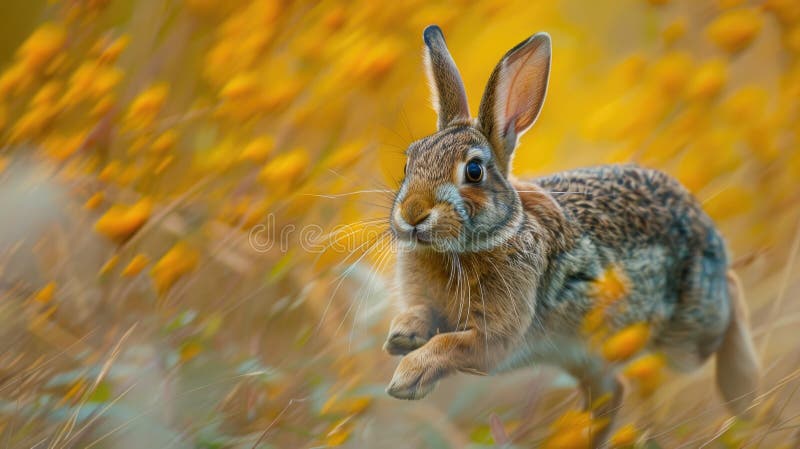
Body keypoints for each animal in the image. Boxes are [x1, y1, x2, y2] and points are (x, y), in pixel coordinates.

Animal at [383, 25, 761, 446]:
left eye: (475, 171)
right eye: (409, 162)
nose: (412, 215)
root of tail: (705, 225)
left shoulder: (495, 338)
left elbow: (453, 343)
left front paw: (408, 375)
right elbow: (422, 315)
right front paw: (402, 335)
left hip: (685, 334)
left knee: (729, 297)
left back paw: (743, 389)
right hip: (583, 353)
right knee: (611, 393)